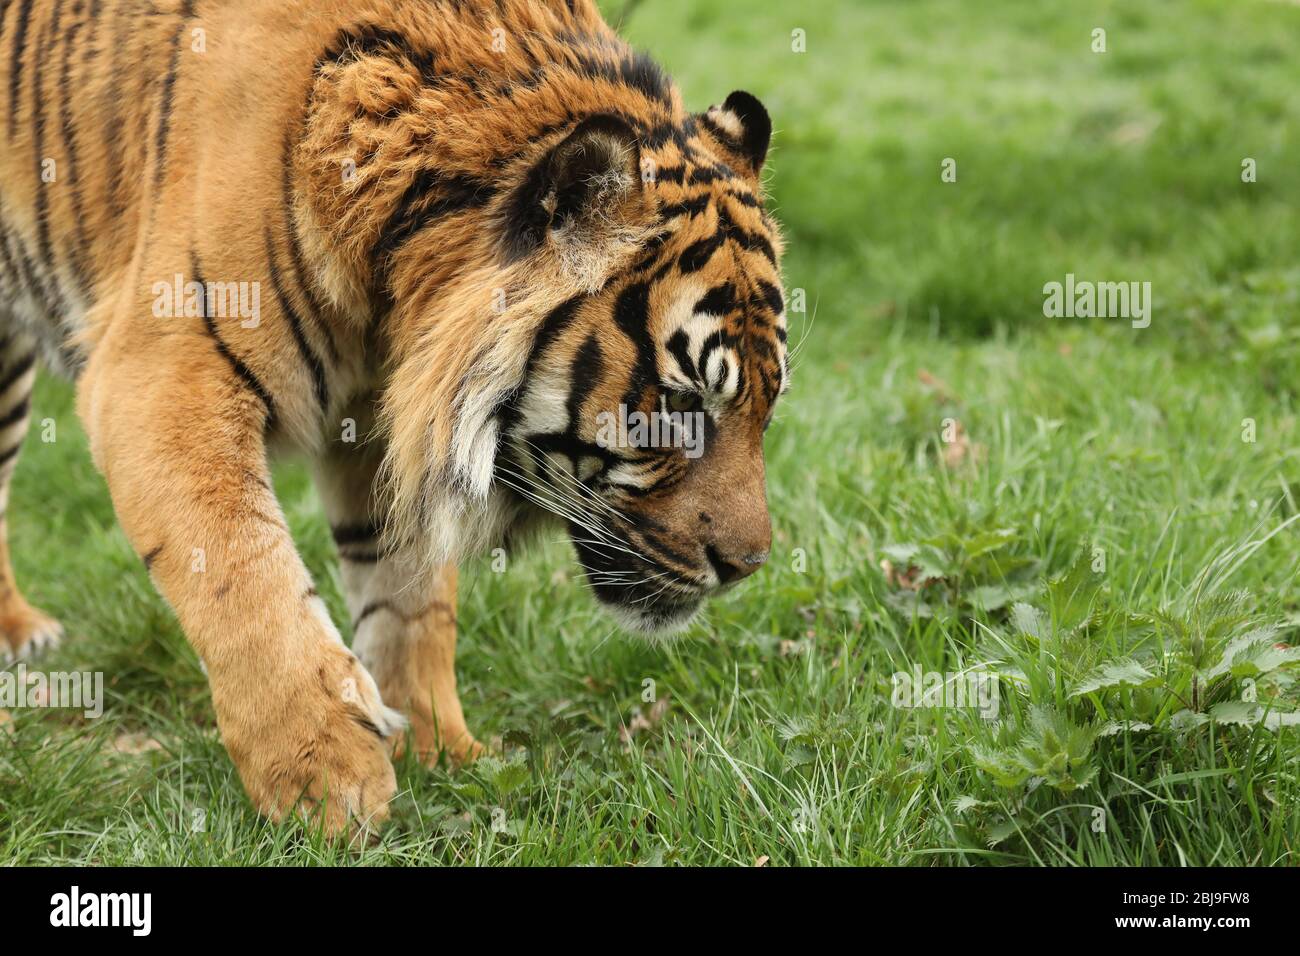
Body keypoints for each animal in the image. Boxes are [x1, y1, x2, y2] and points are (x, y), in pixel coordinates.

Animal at [0, 0, 789, 834]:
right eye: (680, 406)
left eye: (767, 408)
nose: (748, 567)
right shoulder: (165, 368)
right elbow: (245, 575)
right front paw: (326, 782)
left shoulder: (399, 420)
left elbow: (409, 594)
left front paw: (443, 753)